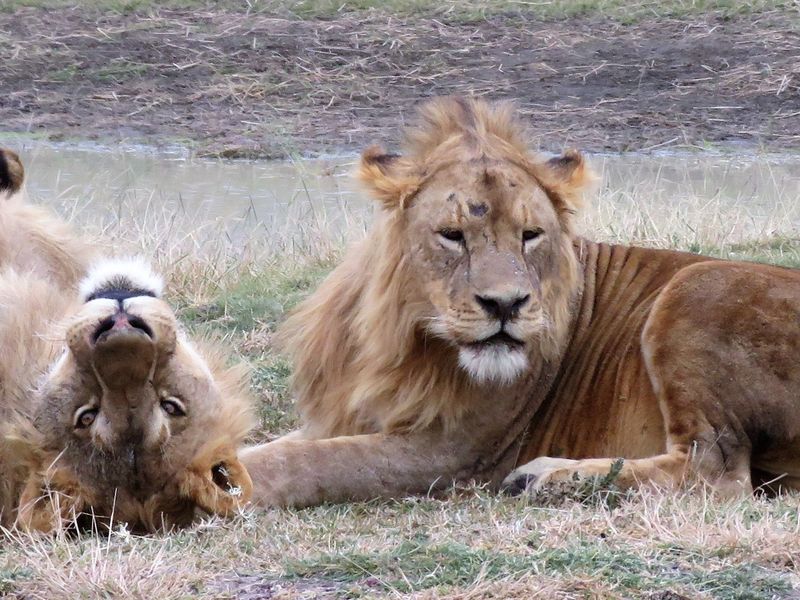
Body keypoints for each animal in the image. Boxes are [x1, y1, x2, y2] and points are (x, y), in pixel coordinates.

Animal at [241, 96, 800, 505]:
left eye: (530, 235)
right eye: (453, 236)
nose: (505, 304)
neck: (397, 338)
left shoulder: (448, 453)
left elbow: (301, 464)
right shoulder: (343, 419)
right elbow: (267, 448)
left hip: (697, 284)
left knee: (715, 473)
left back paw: (544, 477)